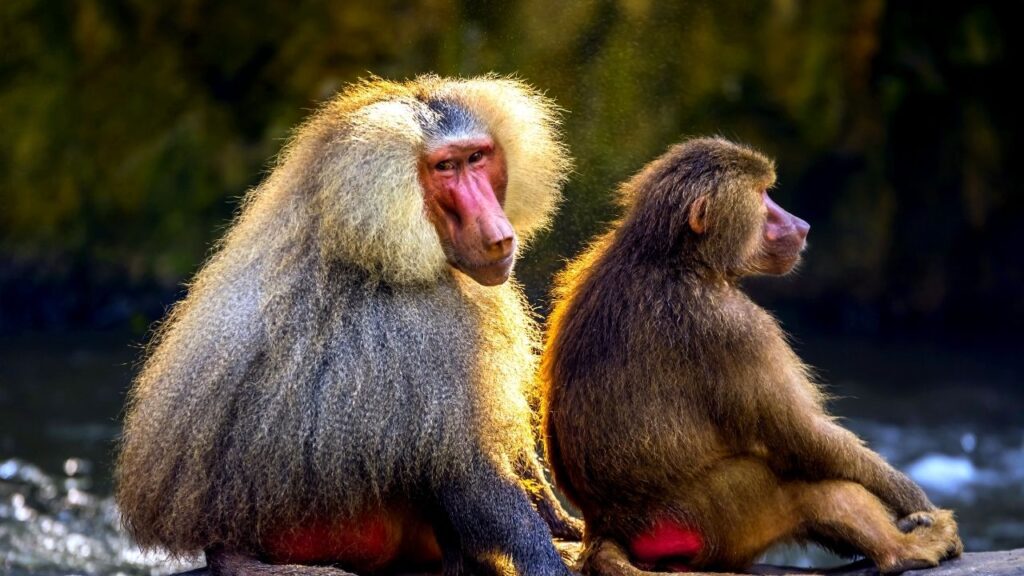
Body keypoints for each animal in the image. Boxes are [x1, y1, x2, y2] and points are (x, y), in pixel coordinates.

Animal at [115, 75, 583, 576]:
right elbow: (464, 471)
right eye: (445, 168)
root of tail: (222, 545)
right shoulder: (412, 325)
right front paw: (547, 560)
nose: (499, 236)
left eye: (477, 158)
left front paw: (568, 526)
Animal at [540, 137, 963, 576]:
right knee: (809, 488)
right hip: (716, 514)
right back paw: (905, 549)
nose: (802, 225)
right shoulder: (739, 329)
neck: (674, 258)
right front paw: (912, 499)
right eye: (763, 198)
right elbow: (804, 438)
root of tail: (606, 526)